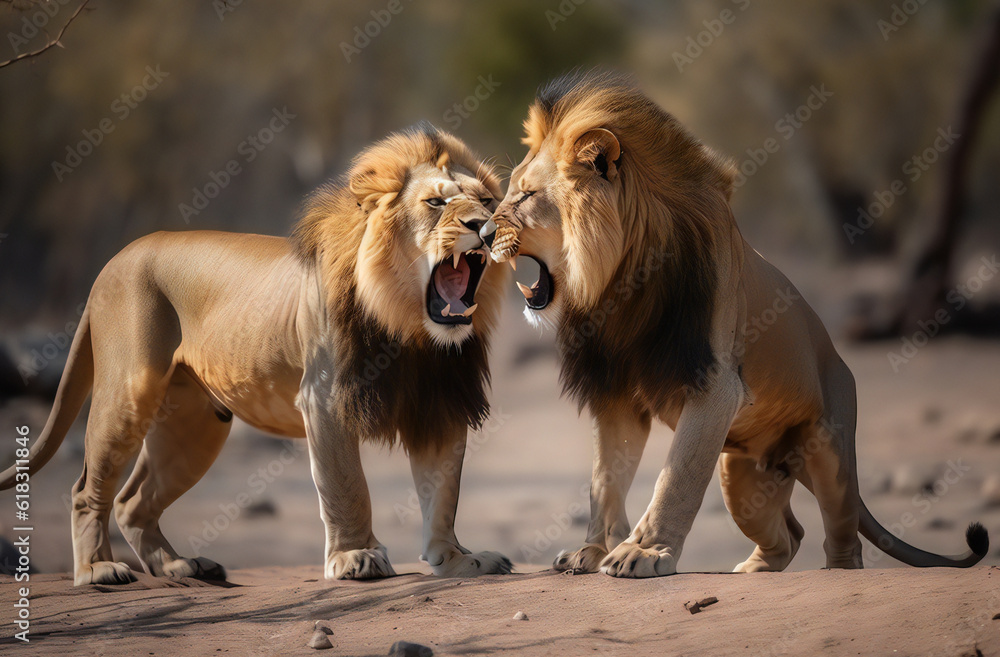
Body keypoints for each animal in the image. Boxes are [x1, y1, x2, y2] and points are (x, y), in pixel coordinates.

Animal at [0, 125, 514, 585]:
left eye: (487, 202)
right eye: (436, 203)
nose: (485, 227)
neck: (410, 329)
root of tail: (115, 259)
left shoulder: (442, 403)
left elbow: (443, 494)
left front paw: (458, 559)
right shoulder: (324, 399)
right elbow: (347, 485)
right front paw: (356, 556)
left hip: (194, 425)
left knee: (132, 502)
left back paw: (180, 566)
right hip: (129, 392)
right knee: (86, 490)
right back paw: (97, 570)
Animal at [479, 72, 988, 577]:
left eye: (526, 195)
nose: (483, 234)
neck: (619, 284)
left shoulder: (714, 385)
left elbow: (677, 476)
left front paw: (644, 551)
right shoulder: (616, 393)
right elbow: (605, 479)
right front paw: (592, 551)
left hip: (830, 450)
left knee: (843, 538)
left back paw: (835, 571)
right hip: (740, 475)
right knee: (789, 535)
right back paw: (751, 571)